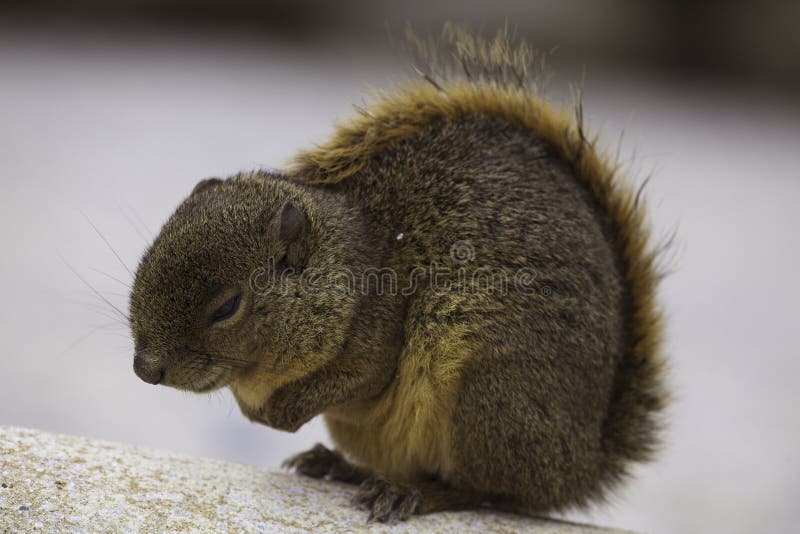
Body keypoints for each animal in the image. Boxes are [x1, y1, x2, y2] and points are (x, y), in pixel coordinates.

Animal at [129, 26, 667, 523]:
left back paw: (411, 493)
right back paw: (342, 467)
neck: (347, 260)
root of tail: (577, 467)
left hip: (487, 393)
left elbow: (359, 379)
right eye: (147, 258)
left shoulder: (376, 334)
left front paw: (275, 413)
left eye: (226, 307)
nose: (145, 370)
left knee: (485, 490)